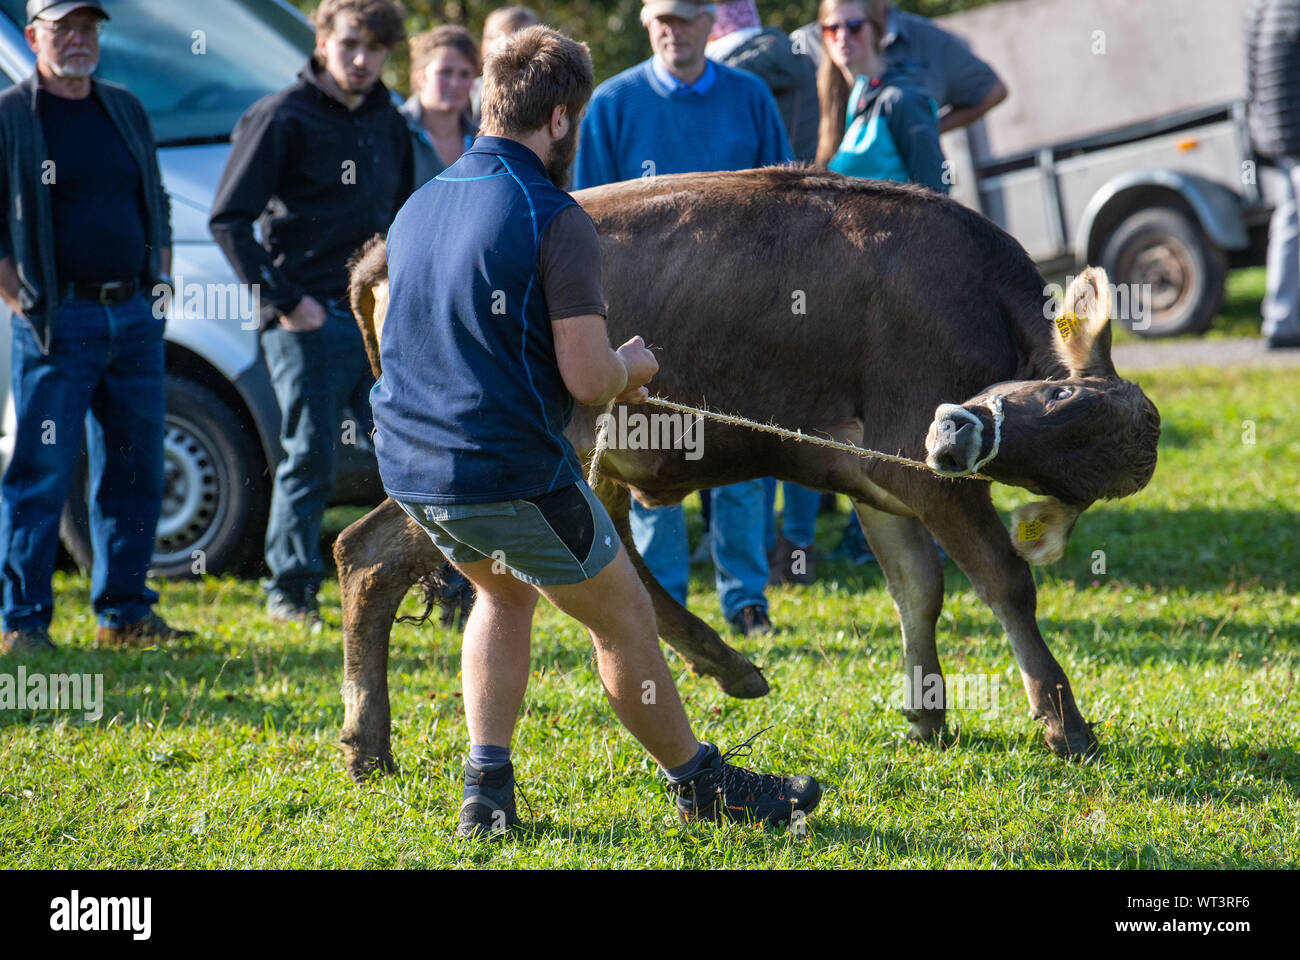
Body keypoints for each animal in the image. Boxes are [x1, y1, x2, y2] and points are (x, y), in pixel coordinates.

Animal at [336, 167, 1160, 781]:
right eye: (1057, 396)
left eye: (1067, 480)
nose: (955, 435)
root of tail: (388, 247)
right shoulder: (927, 473)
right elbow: (1004, 581)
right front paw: (1064, 722)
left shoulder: (887, 477)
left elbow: (917, 589)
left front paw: (927, 711)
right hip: (492, 462)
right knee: (364, 553)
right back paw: (368, 741)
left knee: (615, 562)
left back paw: (727, 665)